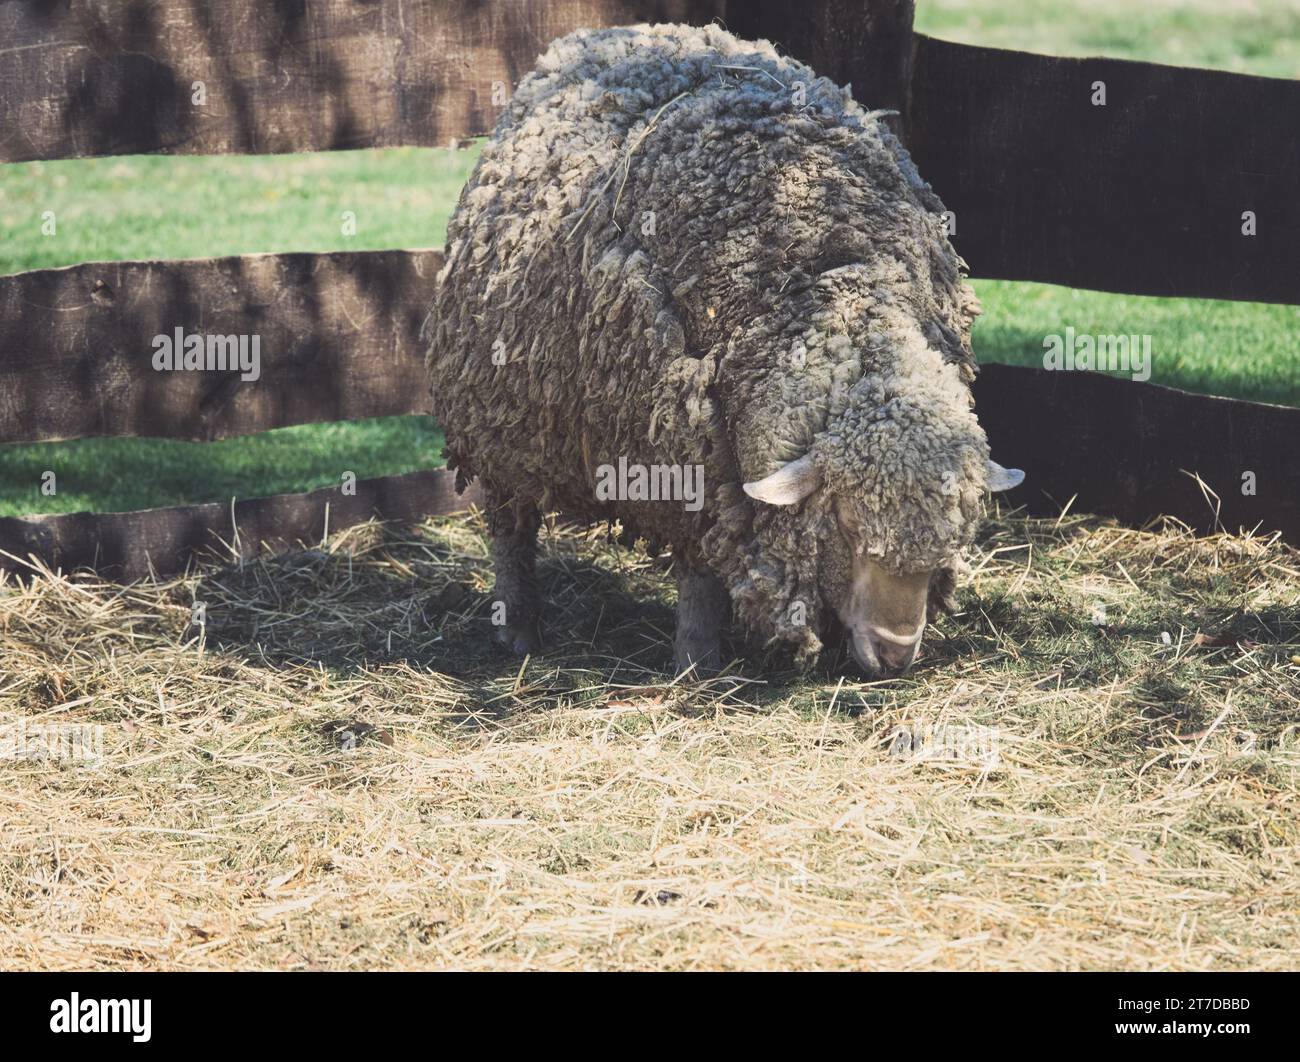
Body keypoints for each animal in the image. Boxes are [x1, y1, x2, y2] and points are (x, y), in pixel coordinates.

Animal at [426, 23, 1023, 676]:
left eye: (952, 533)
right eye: (844, 523)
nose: (895, 653)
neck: (836, 275)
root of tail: (601, 36)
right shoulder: (688, 457)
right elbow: (699, 572)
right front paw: (698, 660)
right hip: (500, 426)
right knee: (511, 526)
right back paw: (518, 628)